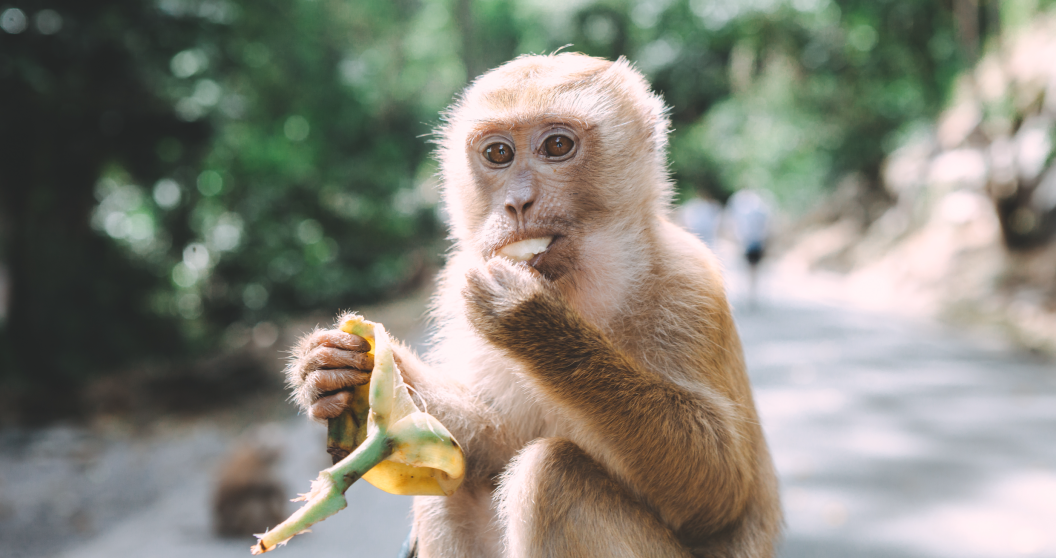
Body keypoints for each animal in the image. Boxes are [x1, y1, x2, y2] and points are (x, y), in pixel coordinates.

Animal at [288, 53, 782, 557]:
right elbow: (495, 445)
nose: (518, 202)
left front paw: (532, 322)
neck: (580, 288)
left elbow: (720, 493)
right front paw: (336, 370)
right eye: (498, 154)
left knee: (553, 475)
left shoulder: (691, 288)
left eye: (558, 145)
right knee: (452, 490)